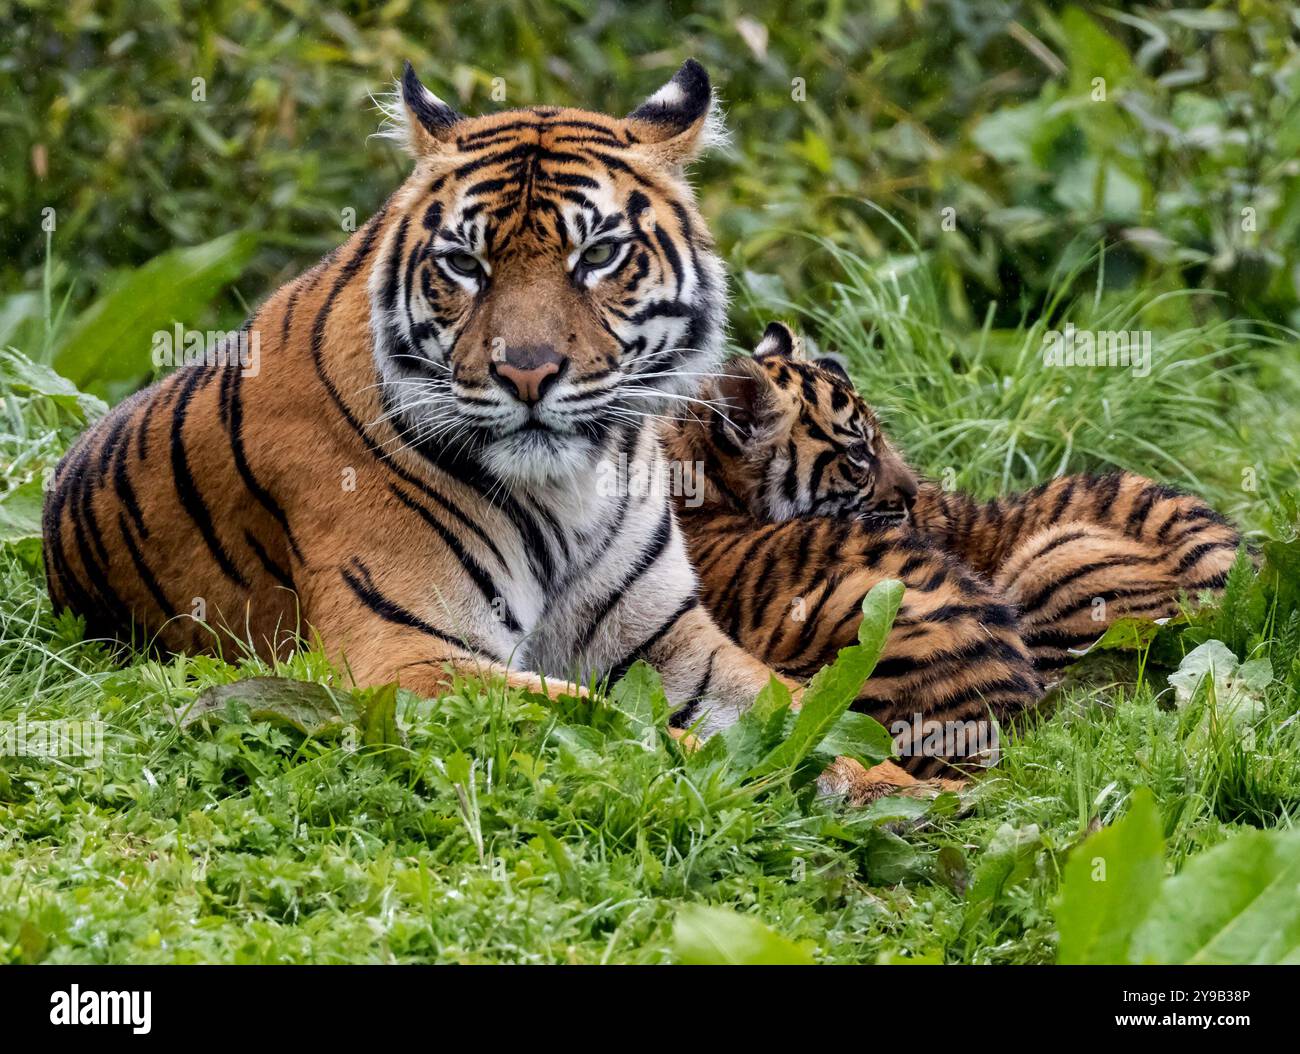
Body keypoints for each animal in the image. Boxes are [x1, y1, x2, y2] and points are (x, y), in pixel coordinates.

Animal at [42, 60, 818, 751]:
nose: (527, 373)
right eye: (465, 265)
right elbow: (631, 728)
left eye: (598, 255)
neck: (573, 487)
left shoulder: (671, 639)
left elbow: (797, 702)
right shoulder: (404, 653)